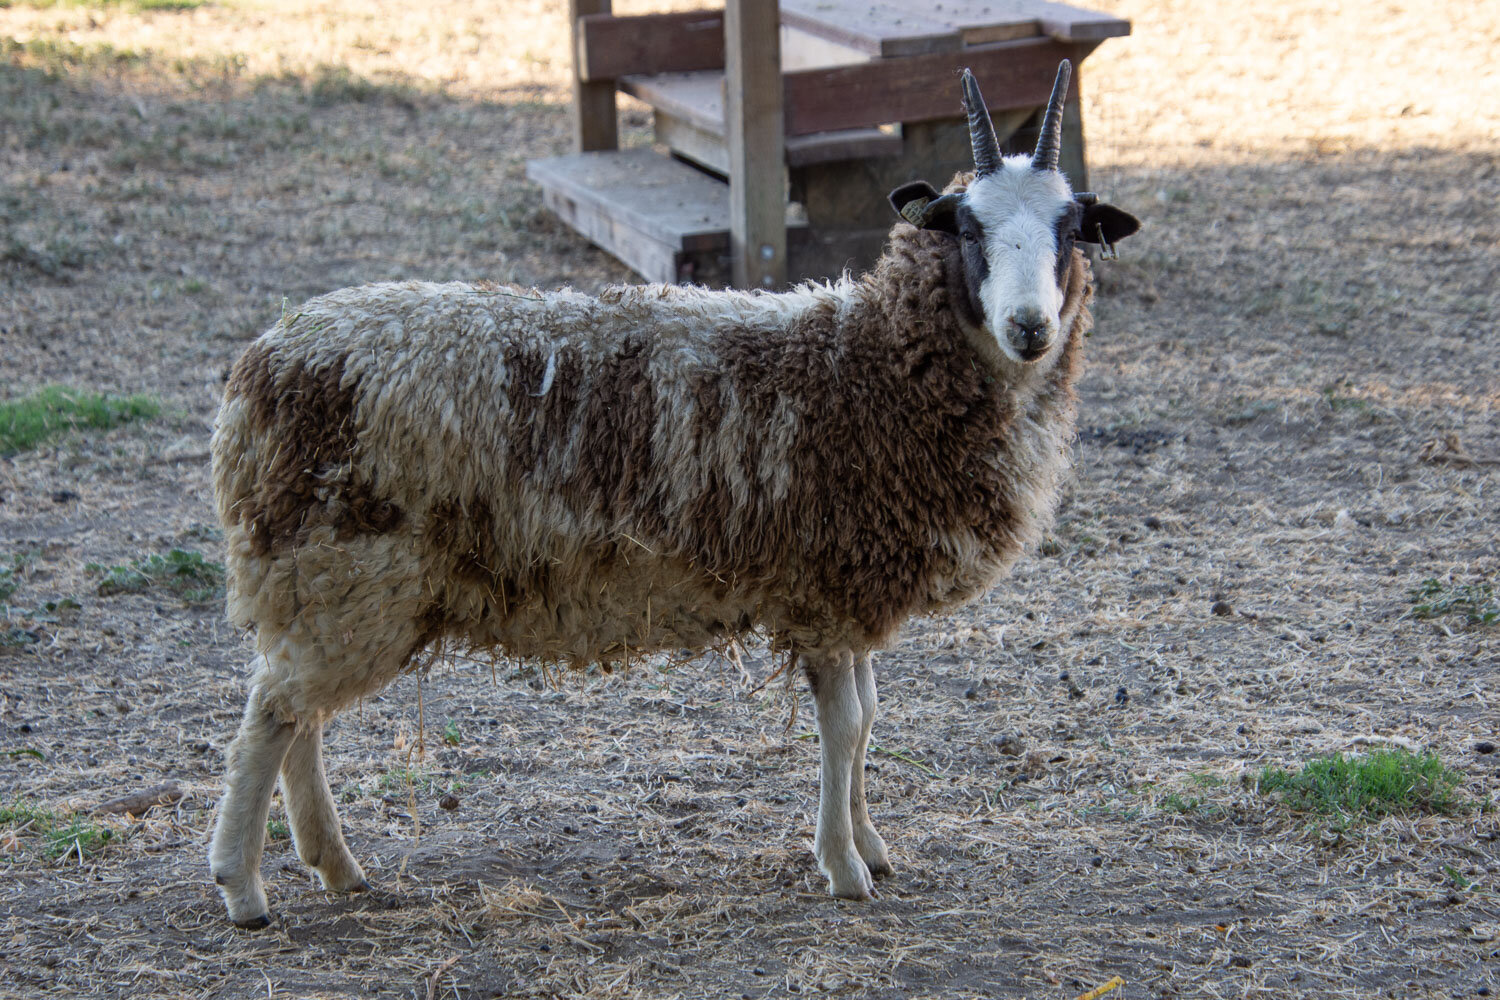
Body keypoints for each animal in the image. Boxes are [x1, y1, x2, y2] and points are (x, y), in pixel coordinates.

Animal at [206, 60, 1140, 927]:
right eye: (968, 229)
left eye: (1069, 232)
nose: (1030, 327)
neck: (868, 367)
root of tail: (262, 364)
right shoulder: (823, 593)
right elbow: (845, 728)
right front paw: (843, 867)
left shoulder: (848, 587)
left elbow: (870, 717)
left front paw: (871, 842)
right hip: (344, 570)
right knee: (268, 717)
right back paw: (243, 887)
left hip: (323, 585)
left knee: (295, 715)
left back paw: (333, 864)